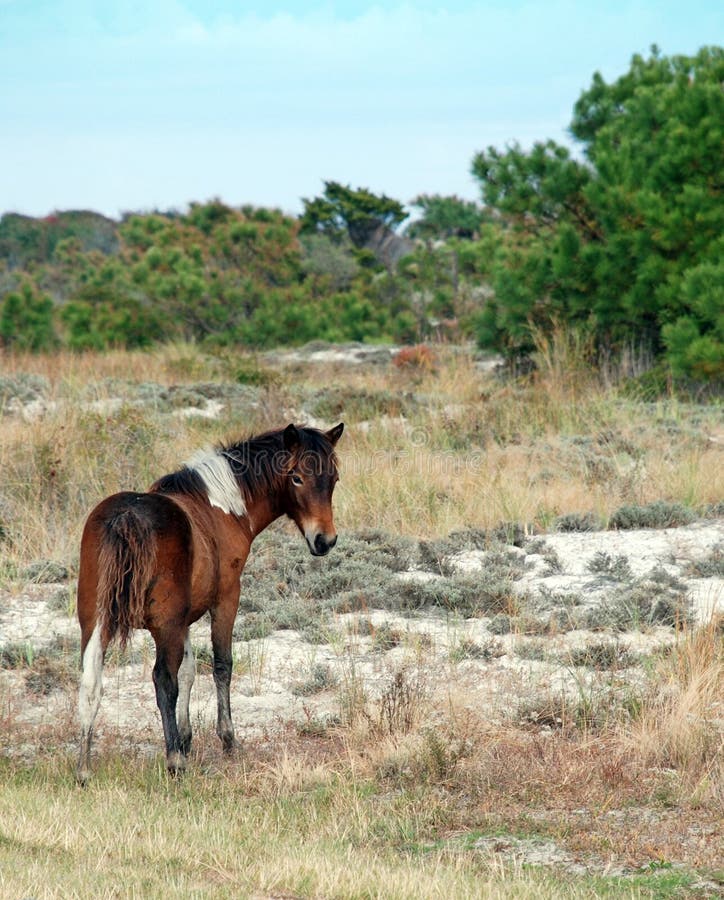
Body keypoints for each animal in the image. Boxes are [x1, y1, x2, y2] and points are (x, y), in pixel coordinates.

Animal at [76, 422, 343, 783]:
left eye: (334, 478)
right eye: (297, 478)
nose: (324, 541)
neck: (220, 507)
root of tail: (126, 517)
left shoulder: (185, 619)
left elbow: (189, 671)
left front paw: (186, 738)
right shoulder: (226, 599)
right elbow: (221, 665)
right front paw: (227, 739)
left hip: (97, 621)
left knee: (92, 681)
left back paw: (84, 769)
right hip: (164, 625)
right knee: (163, 680)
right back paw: (174, 761)